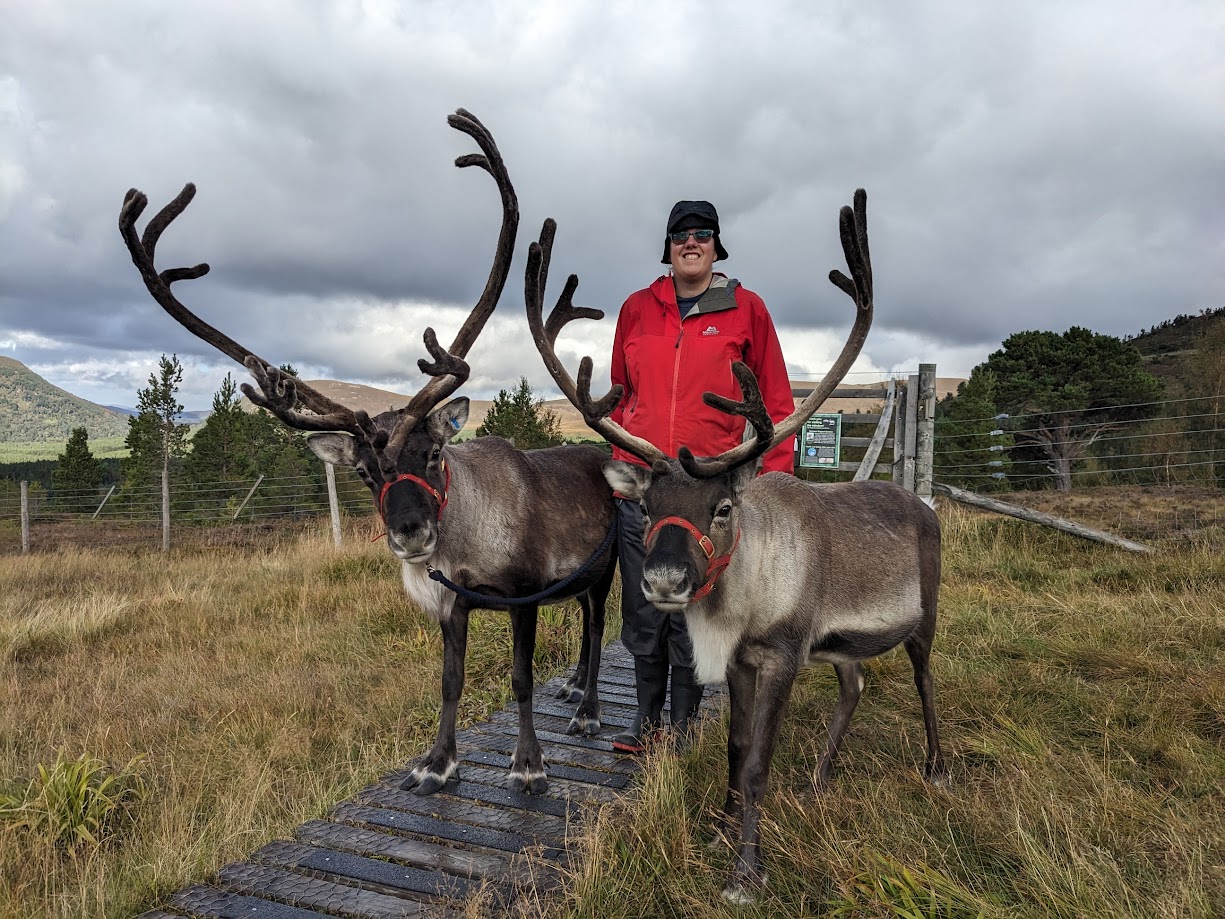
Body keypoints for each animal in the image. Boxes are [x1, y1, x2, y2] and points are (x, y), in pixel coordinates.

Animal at [118, 109, 618, 797]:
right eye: (362, 472)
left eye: (433, 453)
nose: (410, 531)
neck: (461, 546)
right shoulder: (451, 605)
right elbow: (450, 680)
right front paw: (438, 762)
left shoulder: (520, 592)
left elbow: (519, 679)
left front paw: (528, 764)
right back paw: (573, 691)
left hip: (606, 565)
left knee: (597, 625)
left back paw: (590, 708)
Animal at [524, 190, 946, 902]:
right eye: (646, 507)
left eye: (721, 508)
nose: (665, 579)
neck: (739, 605)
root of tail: (923, 502)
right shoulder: (745, 662)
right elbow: (733, 747)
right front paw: (722, 827)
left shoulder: (779, 655)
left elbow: (756, 764)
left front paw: (747, 871)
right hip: (840, 644)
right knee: (855, 683)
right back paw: (820, 777)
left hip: (927, 613)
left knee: (924, 676)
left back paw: (937, 765)